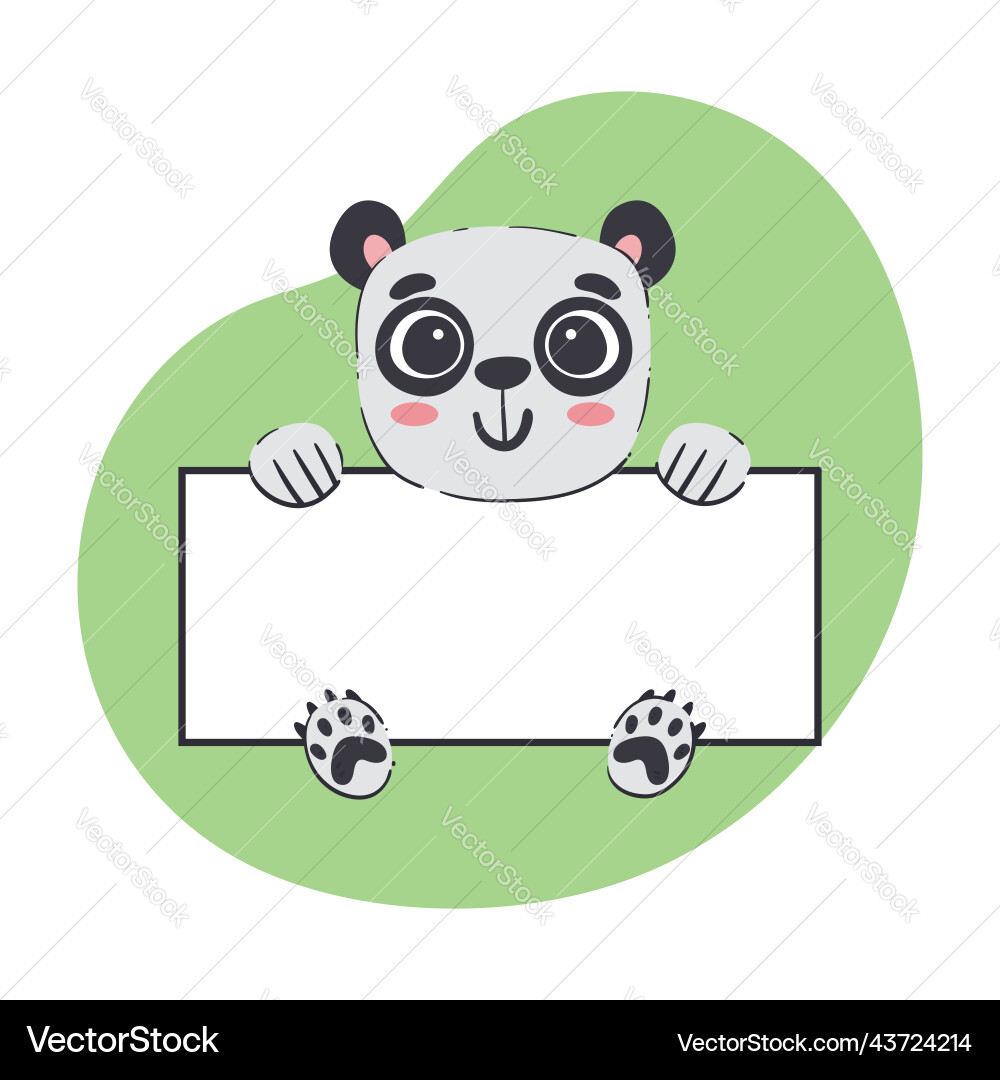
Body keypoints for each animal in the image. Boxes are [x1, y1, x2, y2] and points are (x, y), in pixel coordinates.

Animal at [249, 199, 751, 799]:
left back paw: (651, 738)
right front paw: (296, 461)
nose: (503, 370)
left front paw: (703, 461)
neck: (501, 497)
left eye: (580, 340)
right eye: (429, 340)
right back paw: (347, 739)